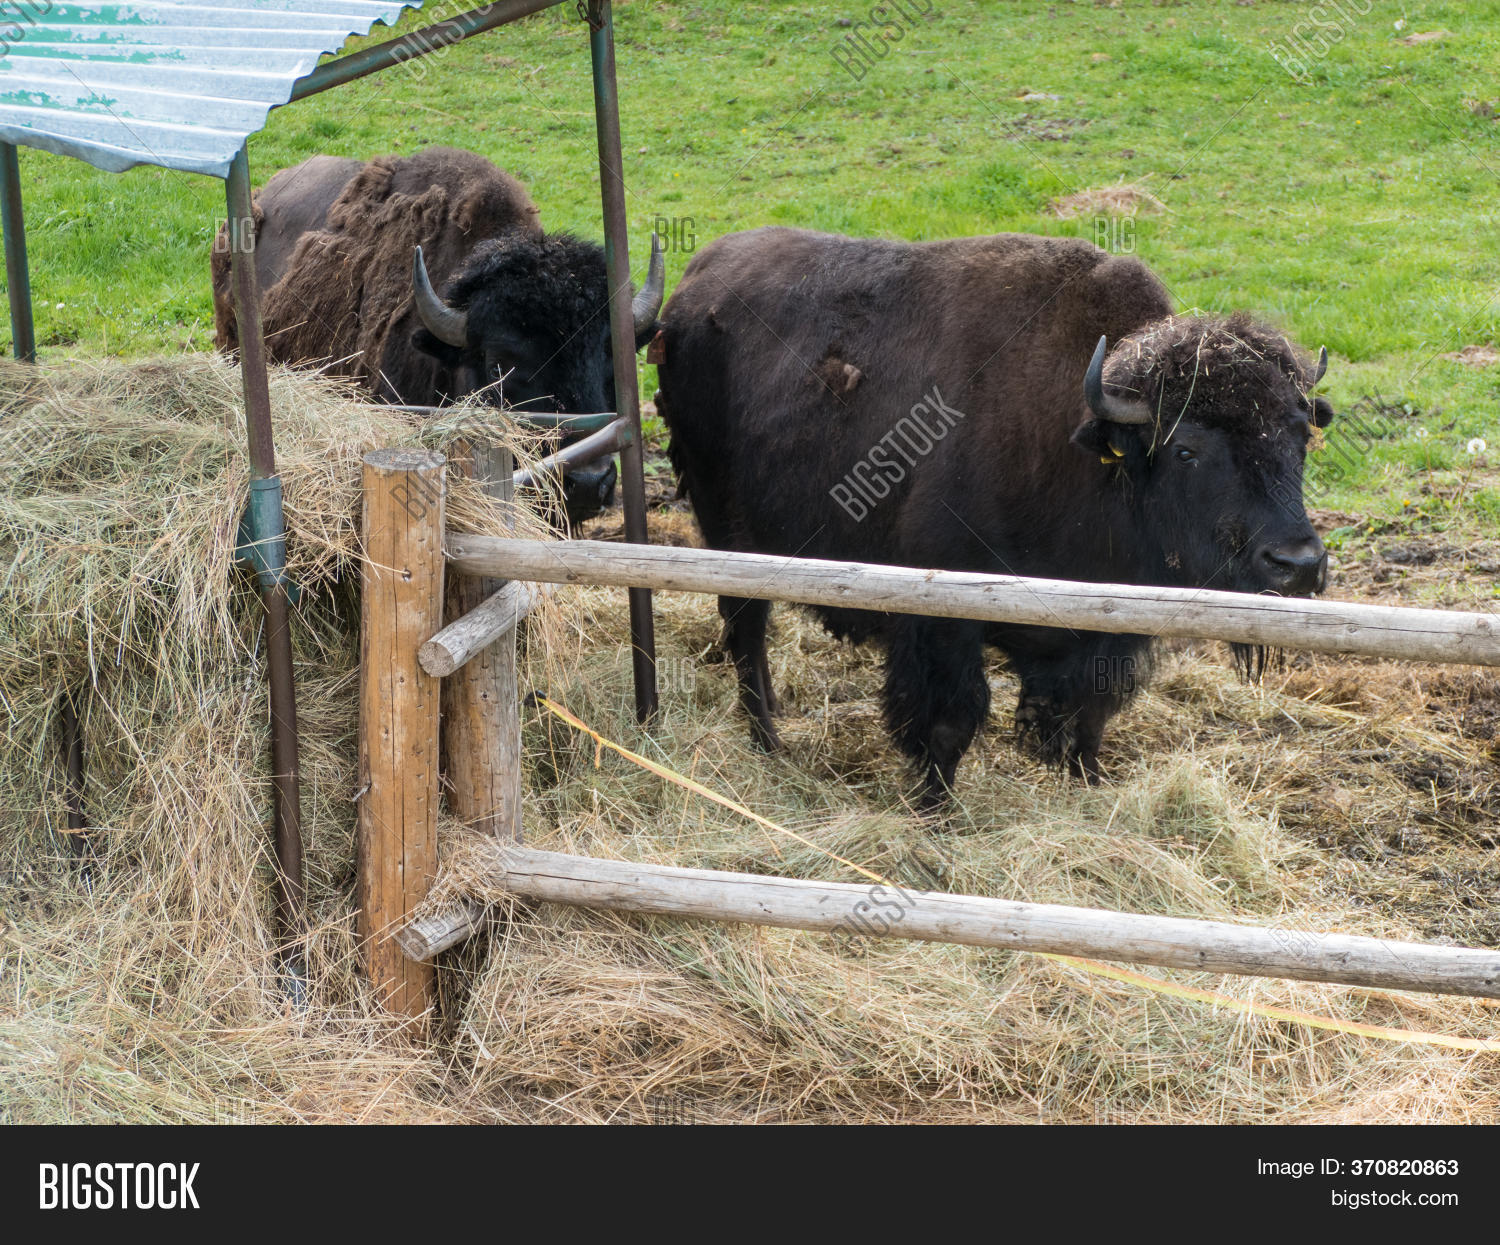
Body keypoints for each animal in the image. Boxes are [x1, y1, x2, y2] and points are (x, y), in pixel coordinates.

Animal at [654, 227, 1334, 805]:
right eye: (1185, 448)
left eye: (1301, 436)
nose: (1298, 564)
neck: (1081, 445)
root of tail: (692, 285)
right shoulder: (942, 615)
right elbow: (951, 721)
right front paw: (935, 811)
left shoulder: (1102, 635)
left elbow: (1088, 718)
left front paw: (1089, 786)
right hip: (727, 531)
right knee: (746, 629)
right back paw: (769, 744)